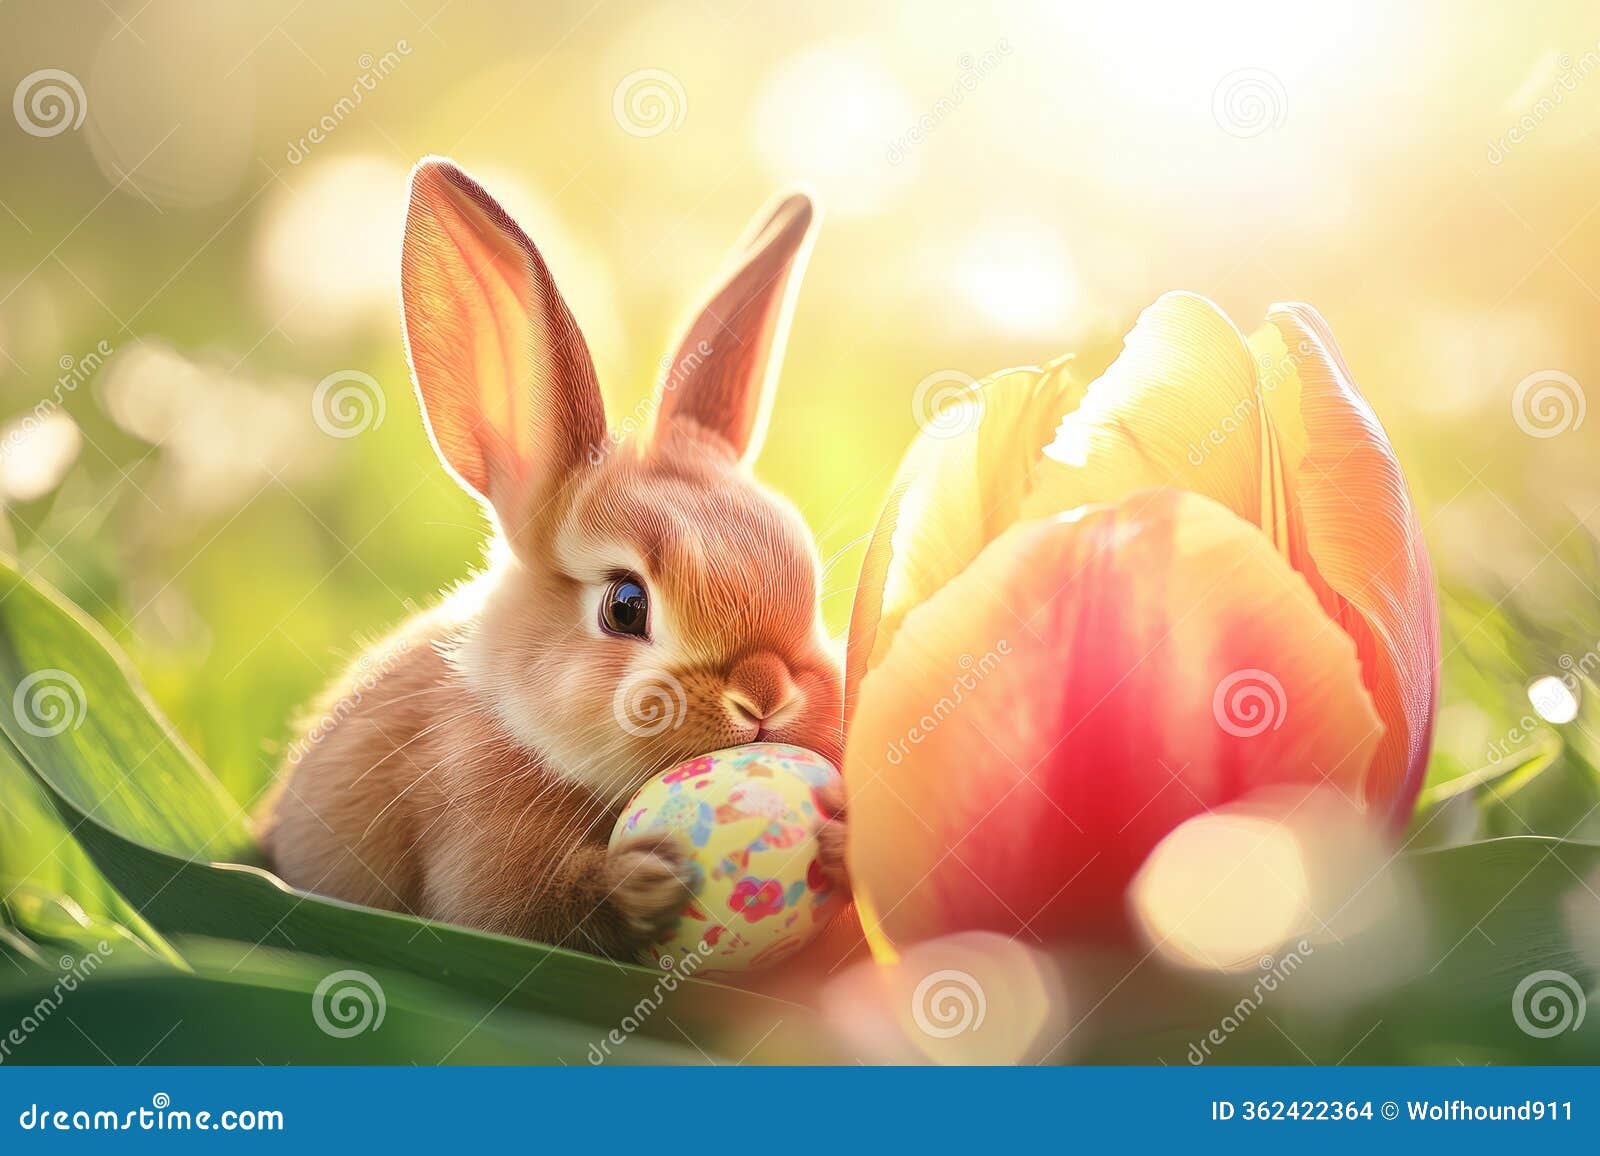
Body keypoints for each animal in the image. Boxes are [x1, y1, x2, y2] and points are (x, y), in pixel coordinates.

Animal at [257, 157, 848, 961]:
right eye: (625, 606)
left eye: (814, 593)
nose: (764, 693)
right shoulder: (472, 828)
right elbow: (519, 905)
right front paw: (648, 879)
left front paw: (842, 840)